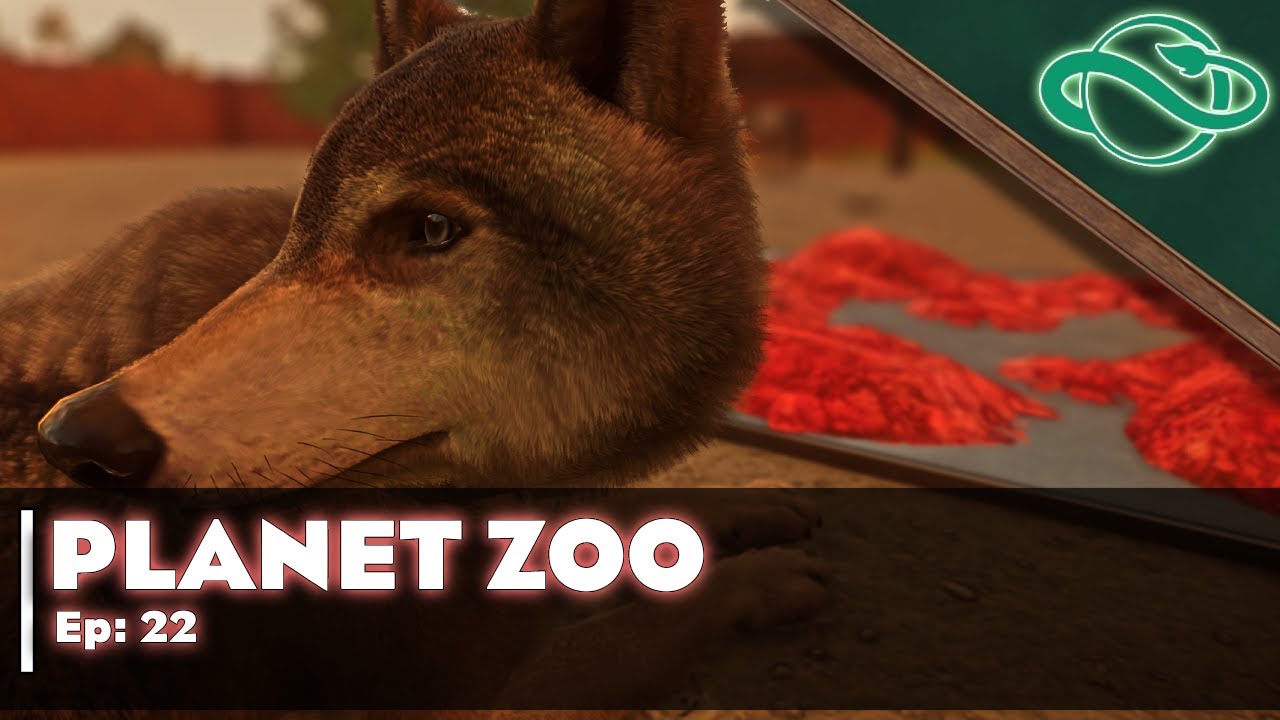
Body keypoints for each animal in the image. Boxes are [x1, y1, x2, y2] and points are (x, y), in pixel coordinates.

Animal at [0, 0, 827, 712]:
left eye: (429, 228)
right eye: (303, 226)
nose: (73, 441)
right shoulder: (479, 697)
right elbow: (638, 626)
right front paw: (759, 578)